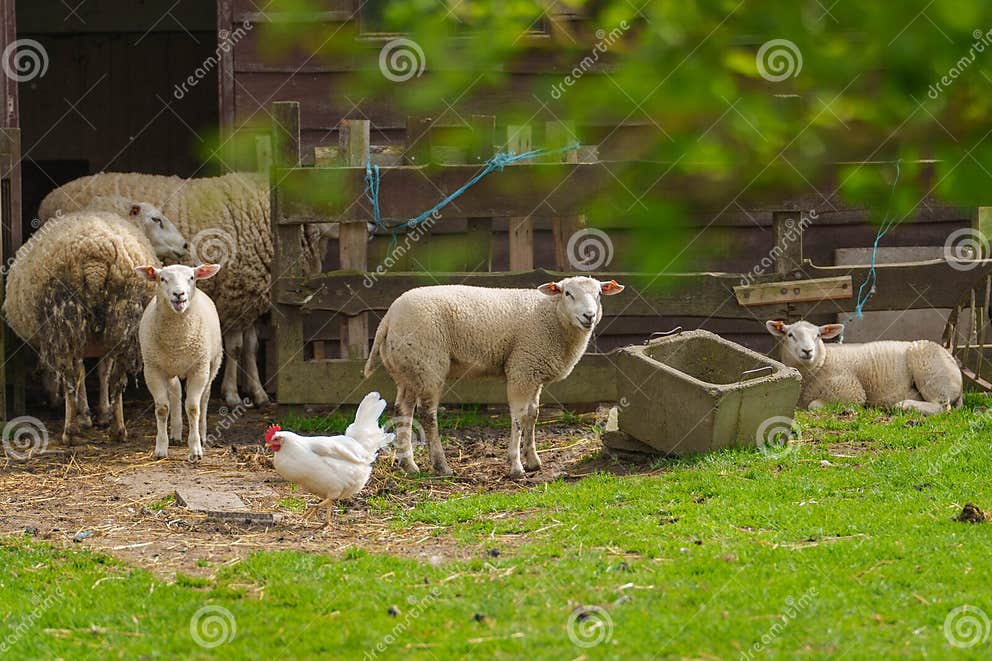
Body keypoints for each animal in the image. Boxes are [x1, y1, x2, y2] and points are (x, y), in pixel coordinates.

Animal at [3, 210, 179, 443]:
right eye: (156, 220)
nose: (184, 246)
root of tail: (95, 262)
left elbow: (82, 372)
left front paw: (86, 415)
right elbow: (100, 371)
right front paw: (99, 413)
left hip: (66, 321)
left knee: (70, 378)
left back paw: (70, 429)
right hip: (123, 319)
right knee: (116, 379)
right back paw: (118, 429)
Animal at [37, 172, 330, 410]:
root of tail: (48, 198)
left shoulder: (248, 296)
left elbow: (251, 345)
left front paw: (256, 393)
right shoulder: (236, 292)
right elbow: (235, 347)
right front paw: (233, 394)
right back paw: (58, 396)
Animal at [134, 263, 223, 461]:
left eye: (191, 277)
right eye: (162, 279)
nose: (179, 294)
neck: (177, 339)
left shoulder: (199, 369)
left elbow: (193, 408)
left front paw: (196, 449)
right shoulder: (153, 370)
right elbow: (162, 408)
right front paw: (161, 448)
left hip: (213, 363)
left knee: (204, 398)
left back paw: (203, 434)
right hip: (170, 366)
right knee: (175, 391)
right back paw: (175, 433)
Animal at [364, 277, 625, 478]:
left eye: (599, 294)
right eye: (568, 293)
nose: (589, 316)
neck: (552, 316)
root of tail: (388, 318)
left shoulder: (534, 374)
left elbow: (533, 415)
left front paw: (533, 460)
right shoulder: (521, 368)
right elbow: (519, 418)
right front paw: (516, 466)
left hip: (408, 370)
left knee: (403, 410)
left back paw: (409, 465)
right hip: (429, 364)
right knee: (427, 415)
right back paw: (442, 466)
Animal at [765, 320, 963, 415]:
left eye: (818, 336)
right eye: (790, 335)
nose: (808, 351)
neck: (821, 364)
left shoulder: (851, 391)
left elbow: (814, 405)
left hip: (929, 368)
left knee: (942, 406)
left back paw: (905, 405)